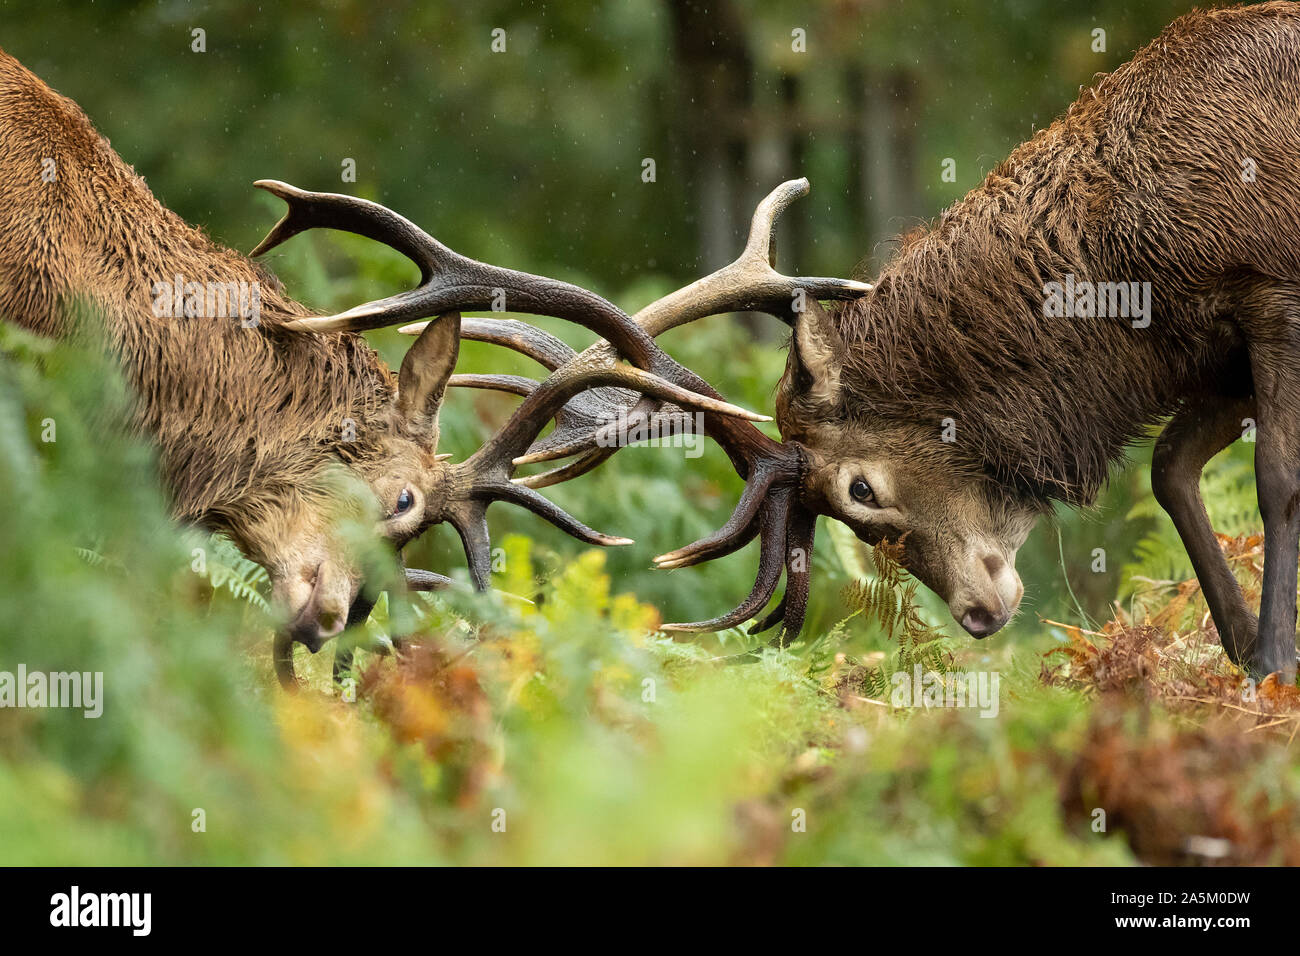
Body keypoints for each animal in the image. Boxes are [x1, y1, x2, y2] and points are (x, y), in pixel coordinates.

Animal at [425, 2, 1300, 683]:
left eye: (860, 489)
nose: (978, 613)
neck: (1135, 278)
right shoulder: (1217, 356)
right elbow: (1170, 469)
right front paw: (1241, 650)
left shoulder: (1273, 291)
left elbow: (1275, 480)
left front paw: (1274, 664)